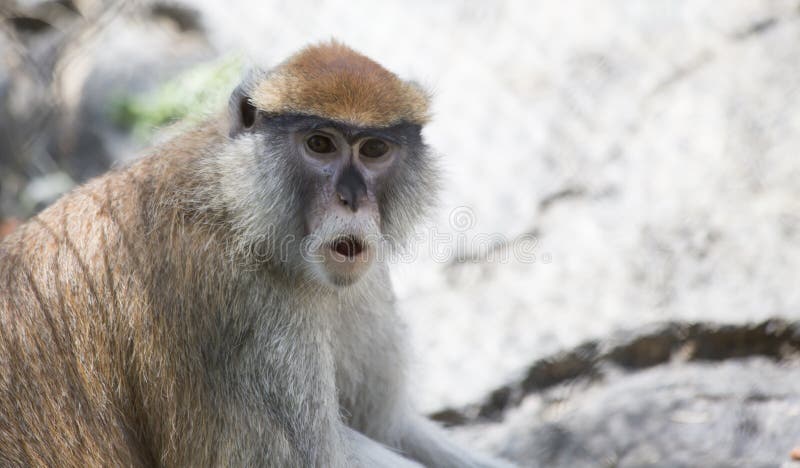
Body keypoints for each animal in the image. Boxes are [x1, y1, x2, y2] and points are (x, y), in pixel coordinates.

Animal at [0, 41, 512, 467]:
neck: (235, 206)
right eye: (320, 144)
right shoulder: (234, 312)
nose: (351, 199)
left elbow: (388, 427)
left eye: (373, 149)